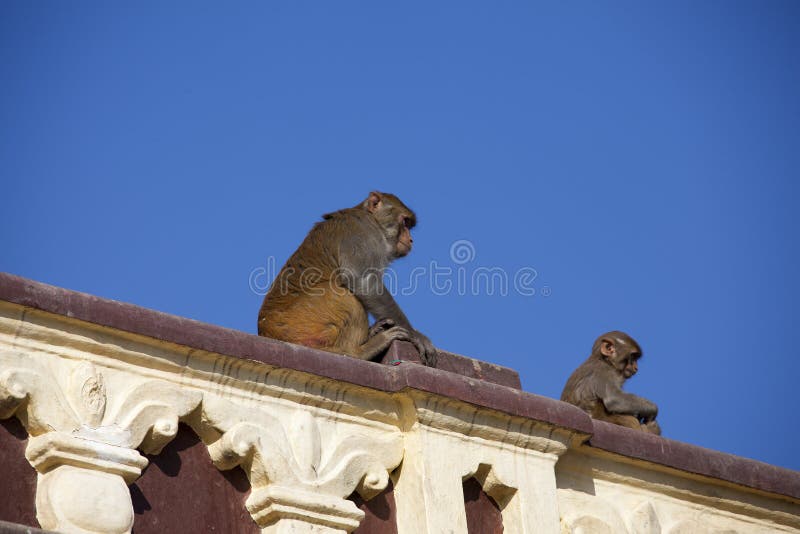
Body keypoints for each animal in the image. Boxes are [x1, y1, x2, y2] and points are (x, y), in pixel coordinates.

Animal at [258, 191, 438, 366]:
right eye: (405, 222)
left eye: (409, 225)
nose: (411, 239)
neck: (373, 220)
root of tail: (267, 331)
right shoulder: (361, 232)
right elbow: (362, 280)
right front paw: (415, 335)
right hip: (300, 320)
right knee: (343, 295)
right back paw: (359, 351)